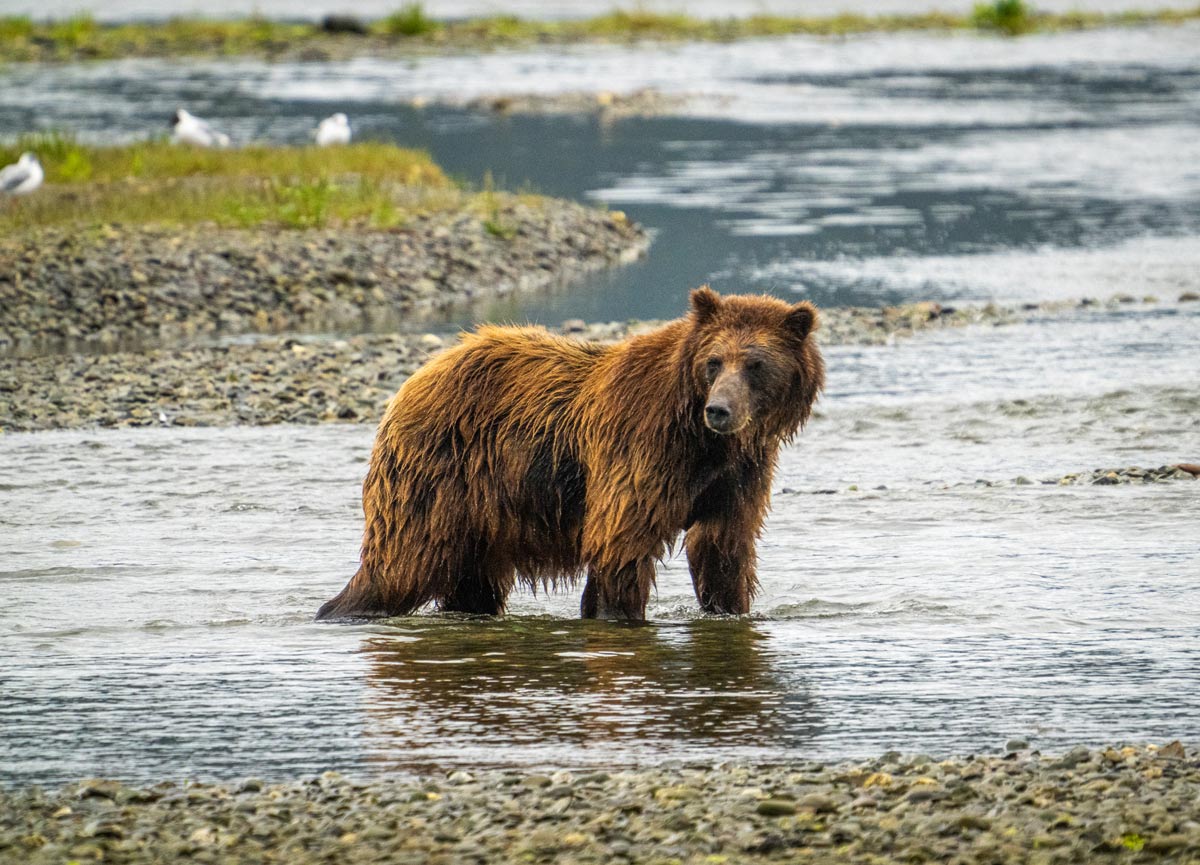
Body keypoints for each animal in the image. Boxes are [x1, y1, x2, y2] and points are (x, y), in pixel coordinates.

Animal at [315, 286, 824, 622]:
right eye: (714, 361)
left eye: (756, 364)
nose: (719, 409)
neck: (702, 440)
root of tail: (418, 376)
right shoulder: (644, 450)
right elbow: (622, 545)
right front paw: (619, 614)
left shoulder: (737, 474)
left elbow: (722, 548)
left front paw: (731, 609)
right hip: (439, 473)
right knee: (399, 564)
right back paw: (341, 609)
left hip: (481, 515)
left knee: (471, 584)